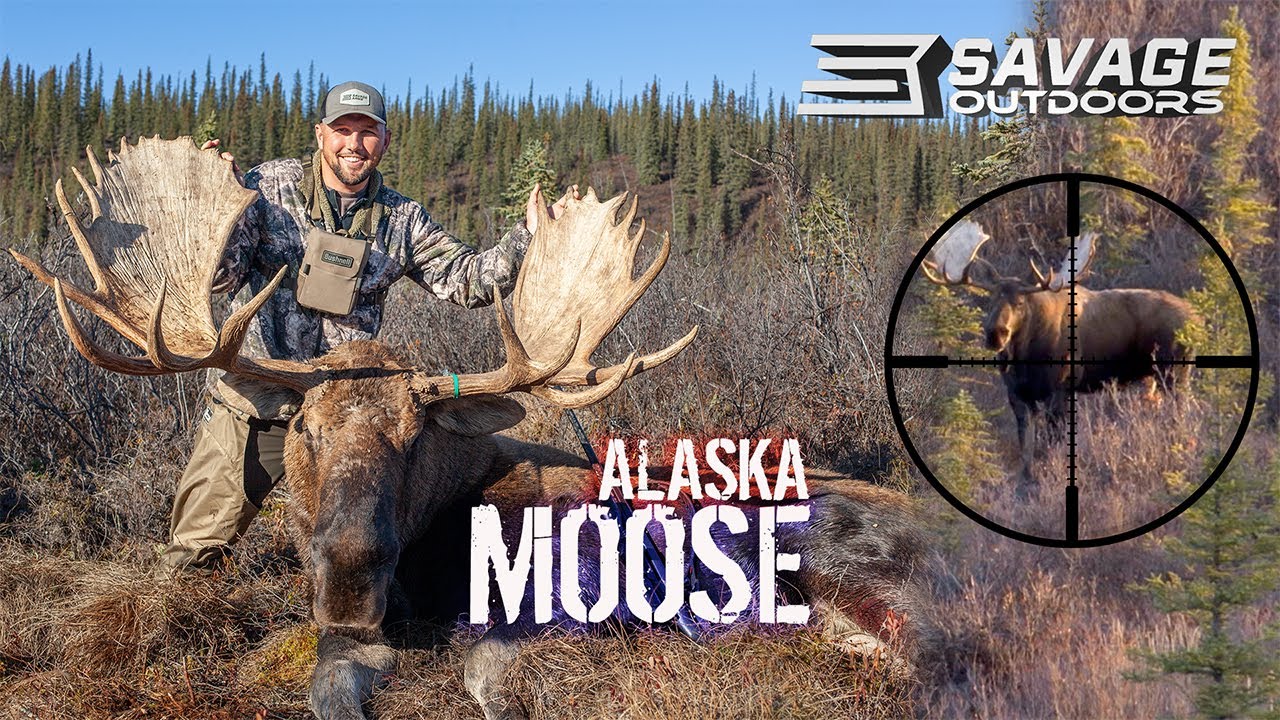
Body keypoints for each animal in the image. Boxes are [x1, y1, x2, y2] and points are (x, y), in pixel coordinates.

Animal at [921, 220, 1196, 482]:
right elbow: (1026, 446)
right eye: (990, 300)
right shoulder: (1017, 394)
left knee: (1183, 414)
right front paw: (1026, 479)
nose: (995, 334)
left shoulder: (1060, 389)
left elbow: (1051, 442)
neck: (1024, 361)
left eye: (1020, 302)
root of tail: (1196, 317)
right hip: (1155, 379)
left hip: (1174, 373)